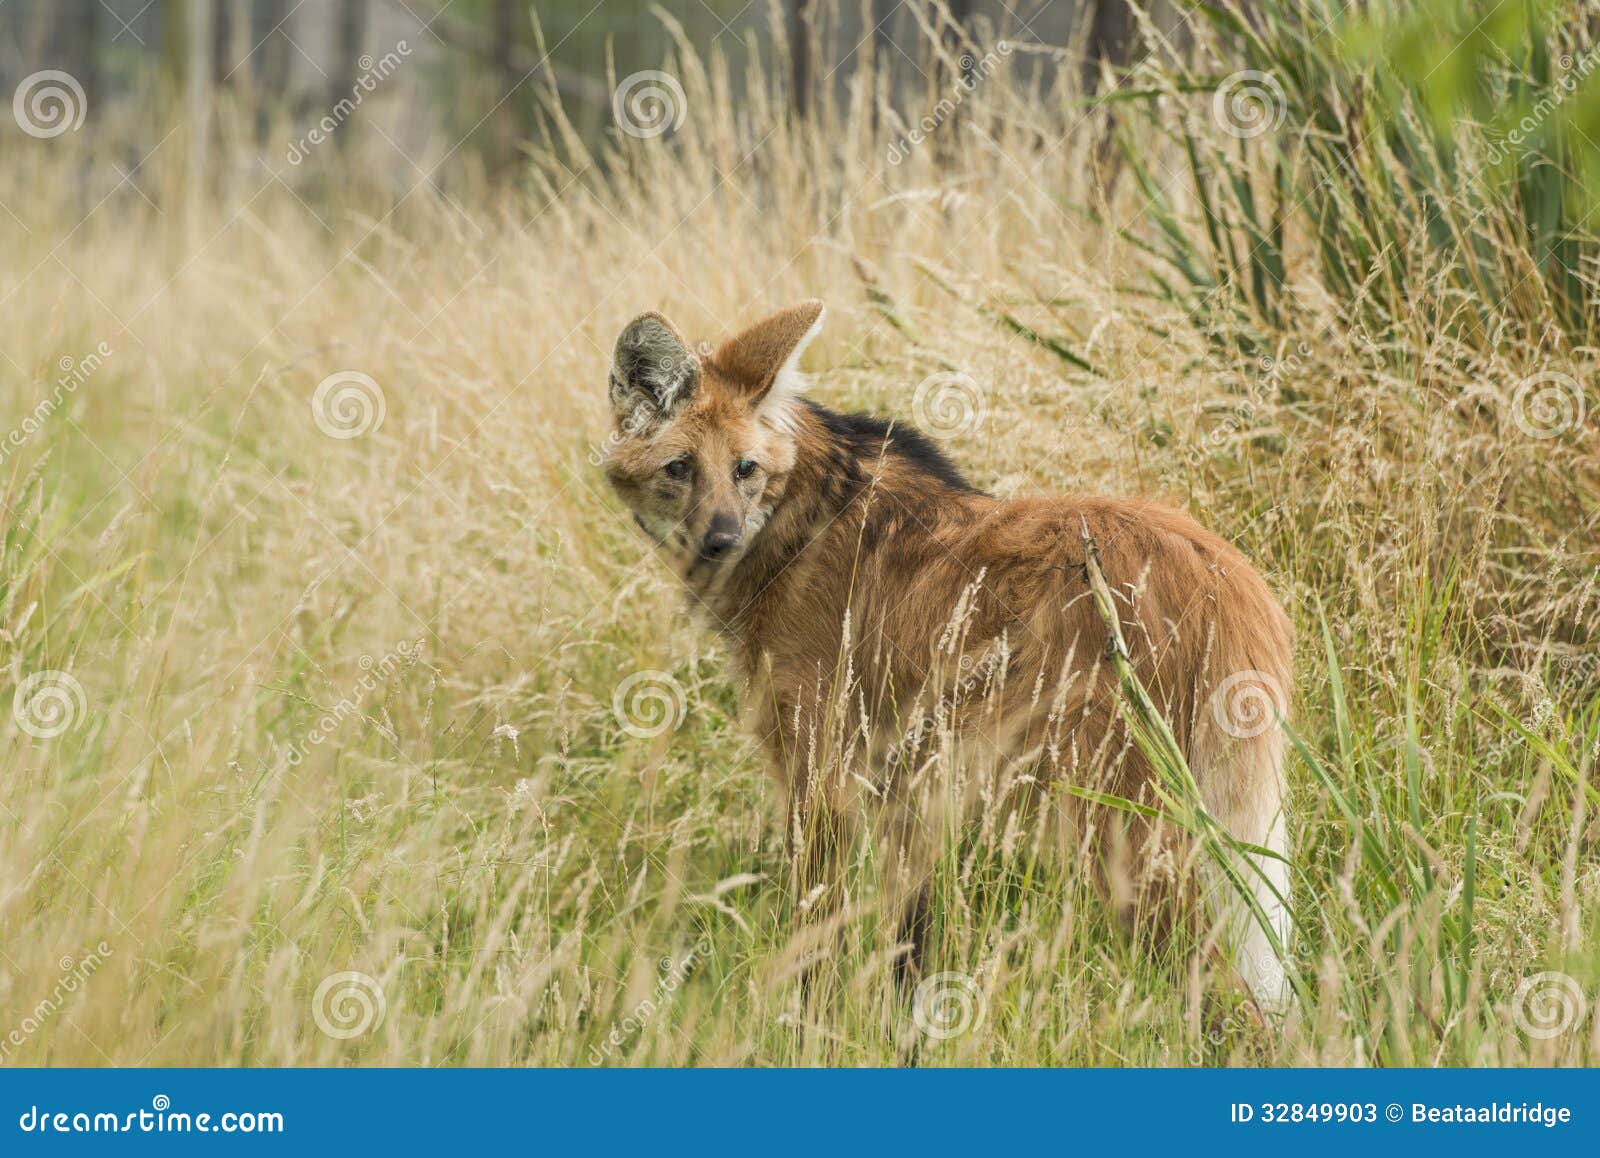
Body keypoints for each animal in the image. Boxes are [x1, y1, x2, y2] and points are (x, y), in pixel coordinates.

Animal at [600, 300, 1294, 1010]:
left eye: (745, 469)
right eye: (679, 468)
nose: (720, 539)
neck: (798, 524)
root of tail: (1226, 573)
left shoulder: (820, 772)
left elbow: (815, 932)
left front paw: (804, 1020)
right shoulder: (905, 787)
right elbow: (910, 942)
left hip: (1121, 827)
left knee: (1231, 993)